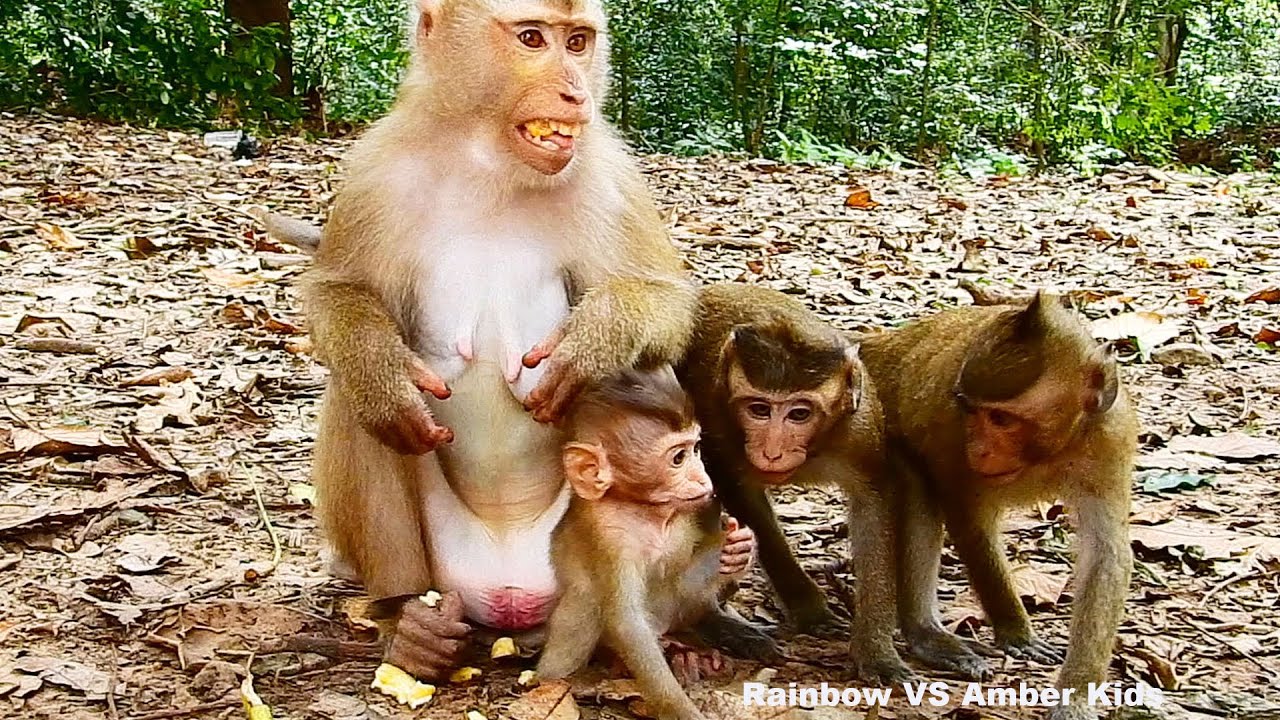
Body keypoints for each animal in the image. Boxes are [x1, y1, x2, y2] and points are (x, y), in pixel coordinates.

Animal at [298, 0, 754, 681]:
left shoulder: (609, 175)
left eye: (579, 42)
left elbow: (669, 301)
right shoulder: (376, 169)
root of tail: (508, 596)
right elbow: (340, 291)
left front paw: (592, 347)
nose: (575, 93)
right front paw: (381, 372)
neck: (489, 163)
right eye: (533, 39)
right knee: (361, 405)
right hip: (447, 572)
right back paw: (407, 623)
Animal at [536, 366, 778, 720]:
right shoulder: (608, 538)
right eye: (677, 458)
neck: (645, 509)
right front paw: (681, 709)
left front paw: (739, 548)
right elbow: (628, 624)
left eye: (696, 450)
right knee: (584, 607)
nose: (703, 478)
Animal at [676, 283, 915, 686]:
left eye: (799, 414)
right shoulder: (714, 409)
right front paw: (809, 608)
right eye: (759, 409)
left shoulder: (860, 427)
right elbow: (740, 496)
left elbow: (874, 501)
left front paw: (876, 649)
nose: (772, 452)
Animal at [858, 293, 1137, 720]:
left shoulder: (1110, 437)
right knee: (918, 492)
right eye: (972, 411)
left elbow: (1106, 555)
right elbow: (968, 522)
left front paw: (1077, 695)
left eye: (1002, 418)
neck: (1047, 454)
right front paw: (1016, 632)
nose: (979, 448)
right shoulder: (950, 427)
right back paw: (926, 634)